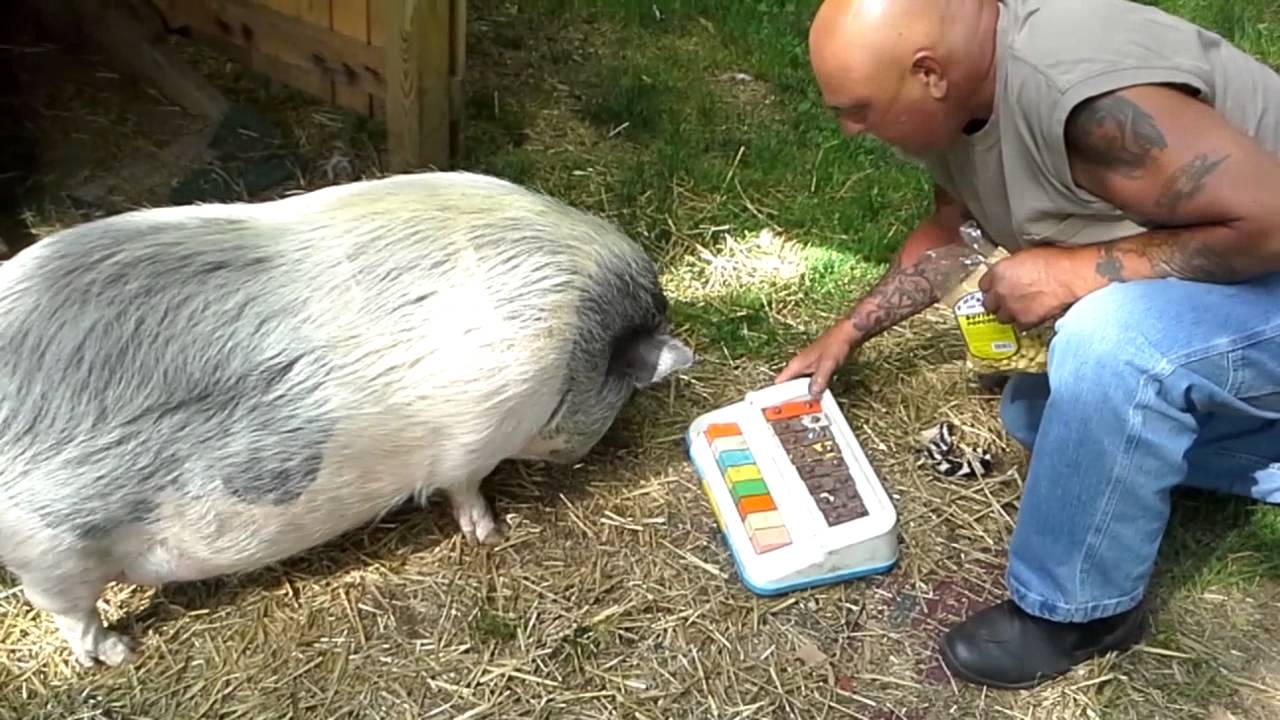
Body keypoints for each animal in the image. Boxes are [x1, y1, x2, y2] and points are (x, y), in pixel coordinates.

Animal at [0, 170, 695, 668]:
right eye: (621, 395)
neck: (574, 338)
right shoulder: (476, 435)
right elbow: (465, 489)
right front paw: (491, 533)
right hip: (57, 552)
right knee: (71, 617)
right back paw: (120, 654)